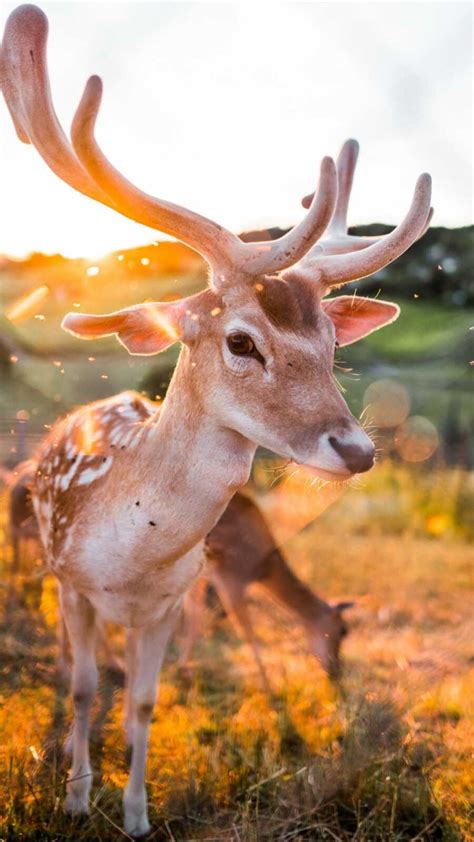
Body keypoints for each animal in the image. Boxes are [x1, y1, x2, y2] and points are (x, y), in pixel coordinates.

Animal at [1, 4, 432, 835]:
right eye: (241, 341)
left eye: (332, 342)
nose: (357, 448)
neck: (132, 558)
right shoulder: (76, 585)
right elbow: (84, 689)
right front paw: (76, 797)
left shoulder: (170, 604)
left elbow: (142, 704)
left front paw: (136, 813)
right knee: (71, 667)